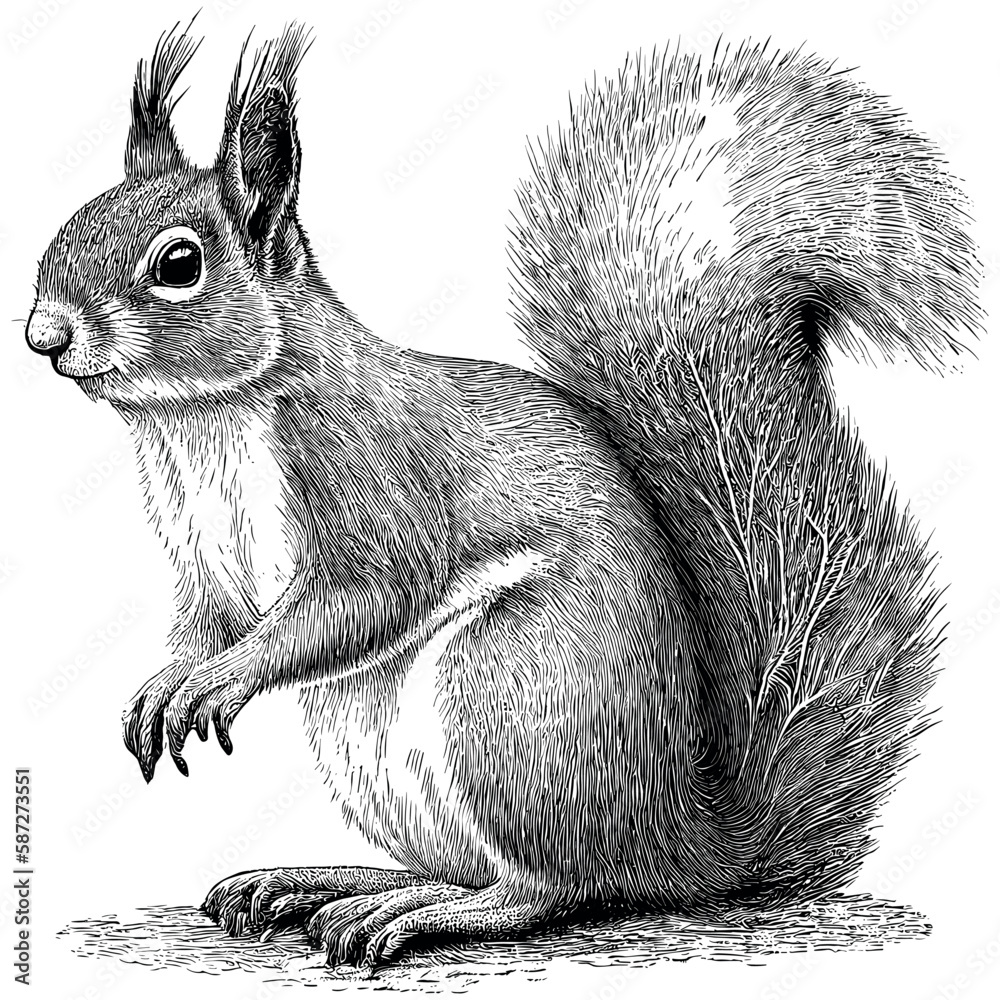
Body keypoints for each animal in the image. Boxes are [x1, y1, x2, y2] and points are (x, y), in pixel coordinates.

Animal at [26, 23, 981, 969]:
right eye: (64, 234)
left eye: (178, 263)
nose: (43, 336)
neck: (203, 421)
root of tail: (688, 842)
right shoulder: (197, 550)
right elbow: (208, 620)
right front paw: (171, 679)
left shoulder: (369, 470)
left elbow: (365, 596)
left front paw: (221, 680)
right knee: (466, 865)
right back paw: (328, 882)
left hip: (502, 698)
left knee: (549, 886)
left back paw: (413, 912)